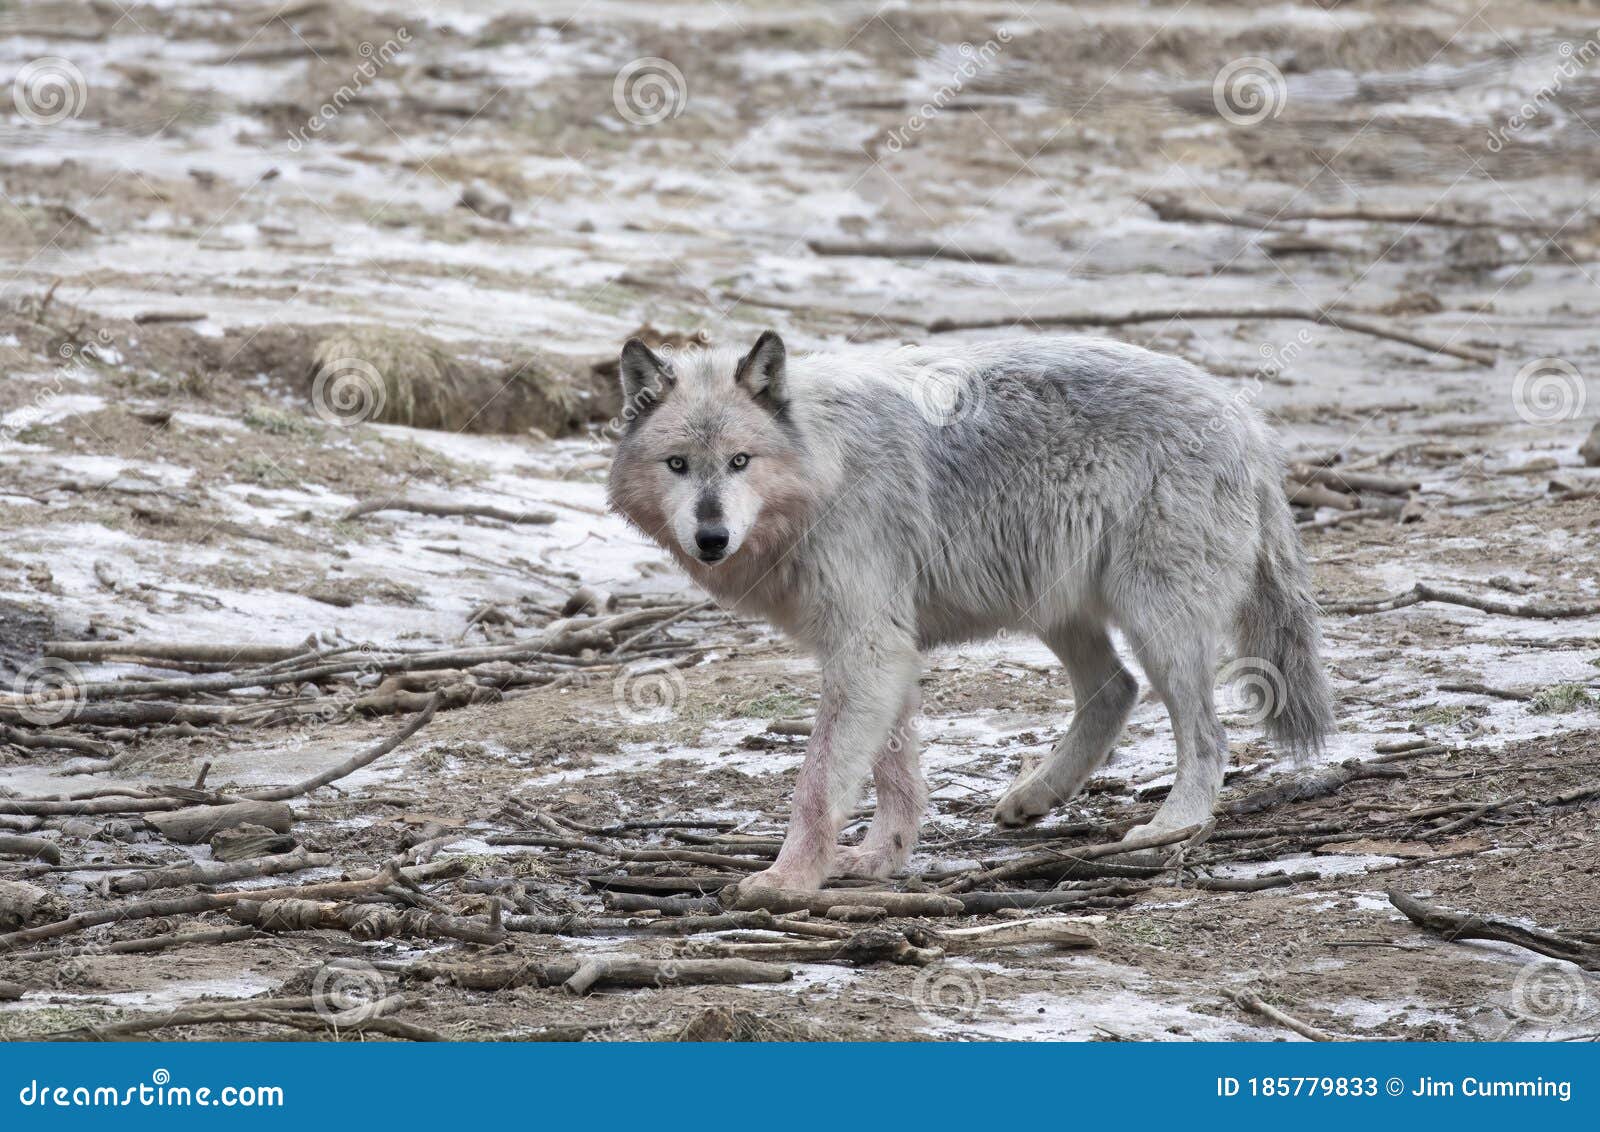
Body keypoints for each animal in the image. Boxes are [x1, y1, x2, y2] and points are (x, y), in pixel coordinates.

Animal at [607, 331, 1333, 893]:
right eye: (677, 465)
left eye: (739, 462)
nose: (710, 538)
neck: (824, 473)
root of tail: (1242, 416)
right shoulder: (886, 651)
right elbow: (896, 779)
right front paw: (879, 860)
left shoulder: (869, 647)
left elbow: (818, 782)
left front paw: (788, 880)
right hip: (1056, 607)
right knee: (1116, 690)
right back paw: (1037, 795)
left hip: (1154, 621)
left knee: (1206, 736)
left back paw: (1172, 827)